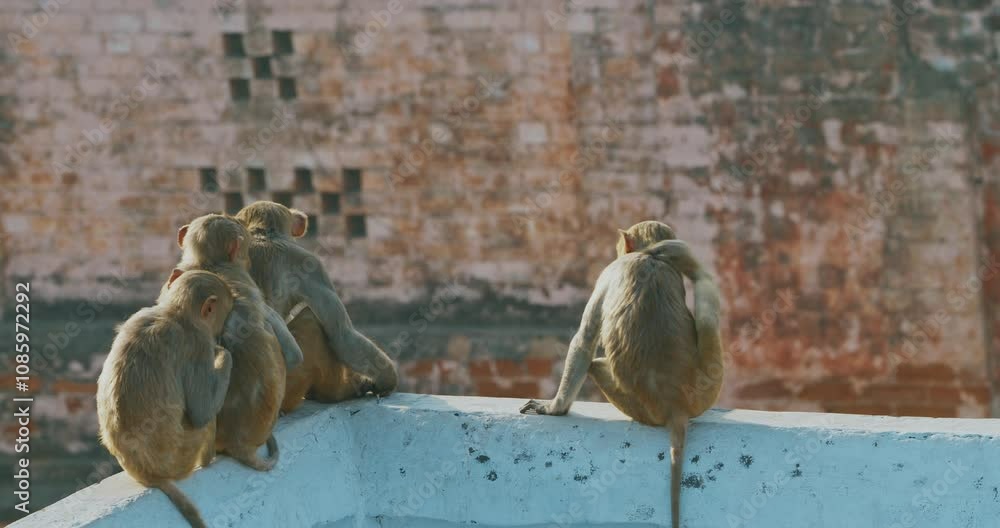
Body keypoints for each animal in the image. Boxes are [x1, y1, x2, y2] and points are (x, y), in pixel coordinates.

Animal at [97, 270, 234, 528]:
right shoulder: (199, 344)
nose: (220, 332)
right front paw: (223, 352)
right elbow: (201, 413)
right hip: (184, 453)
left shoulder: (139, 314)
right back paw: (207, 460)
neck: (174, 313)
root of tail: (148, 475)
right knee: (205, 421)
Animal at [233, 201, 397, 409]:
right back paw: (339, 391)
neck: (262, 235)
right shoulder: (310, 263)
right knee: (312, 320)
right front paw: (387, 379)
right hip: (291, 383)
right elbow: (343, 335)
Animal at [520, 221, 724, 528]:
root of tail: (676, 405)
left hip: (642, 407)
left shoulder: (608, 272)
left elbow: (585, 339)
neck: (648, 257)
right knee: (706, 300)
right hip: (707, 384)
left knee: (593, 364)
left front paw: (553, 408)